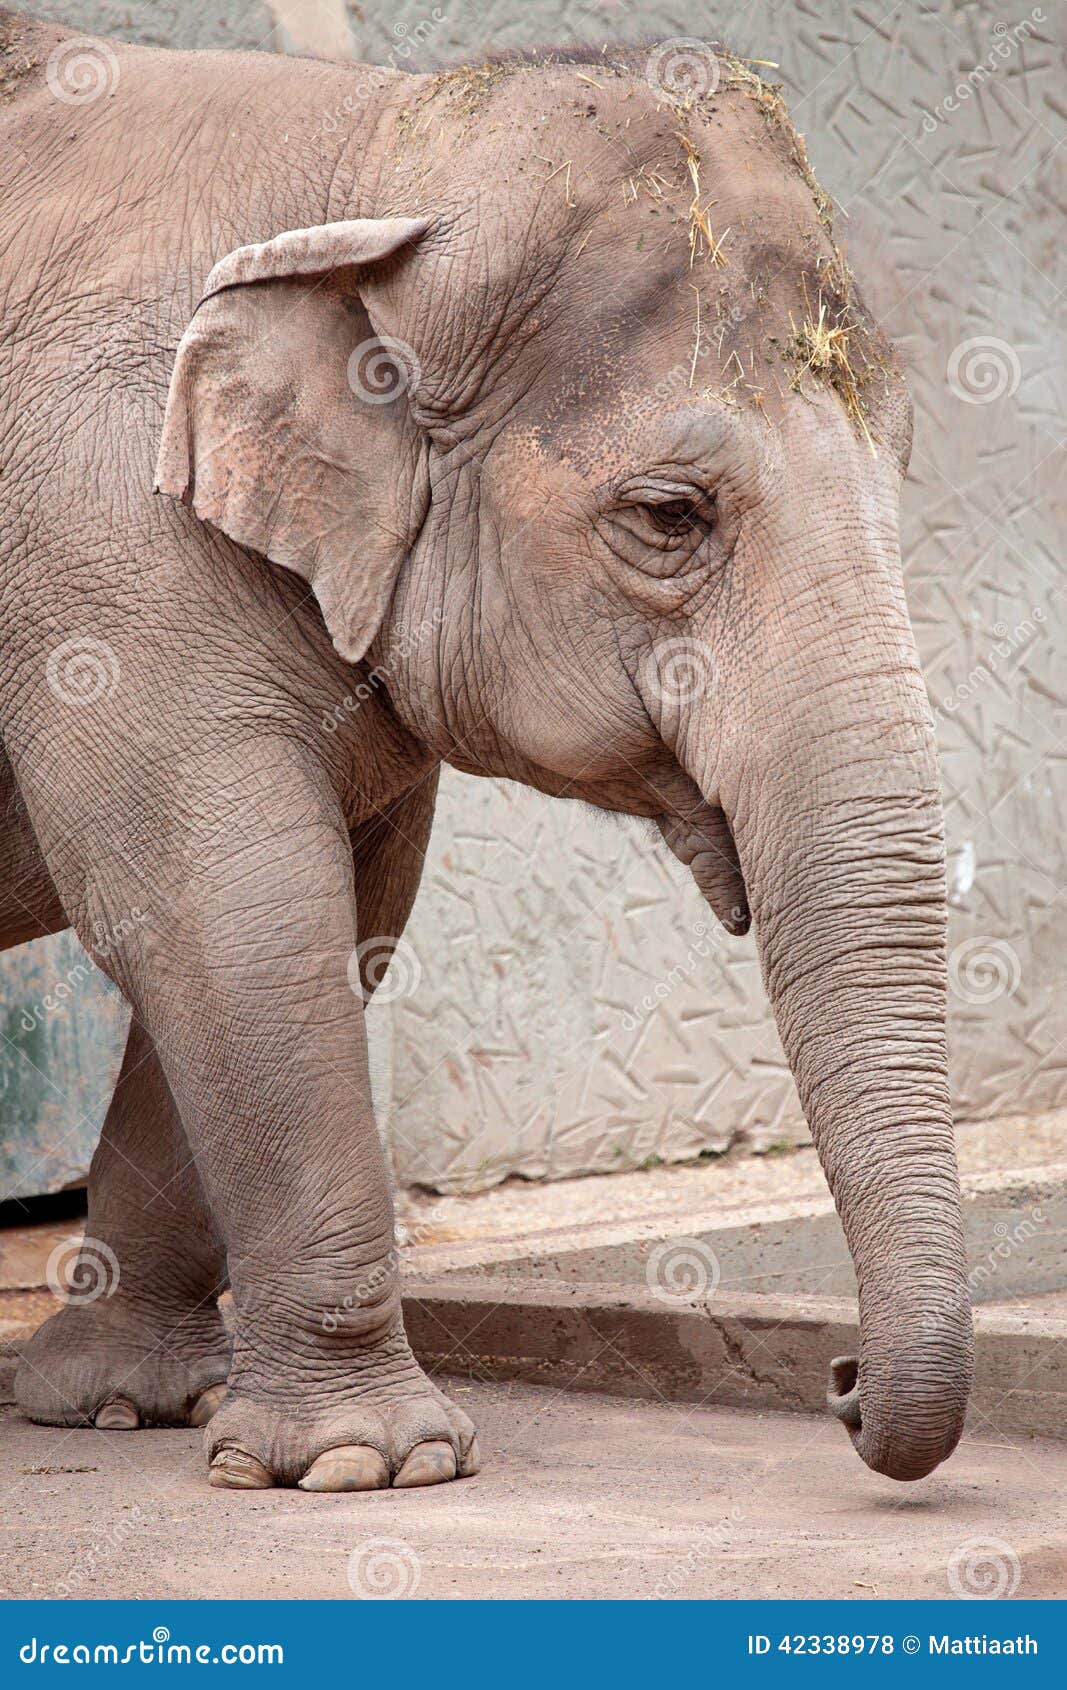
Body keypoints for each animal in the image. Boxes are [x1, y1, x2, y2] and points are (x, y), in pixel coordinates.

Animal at [0, 9, 973, 1491]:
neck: (372, 148)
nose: (842, 1385)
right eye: (669, 516)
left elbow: (332, 908)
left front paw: (122, 1403)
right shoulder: (102, 558)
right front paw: (369, 1466)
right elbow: (218, 904)